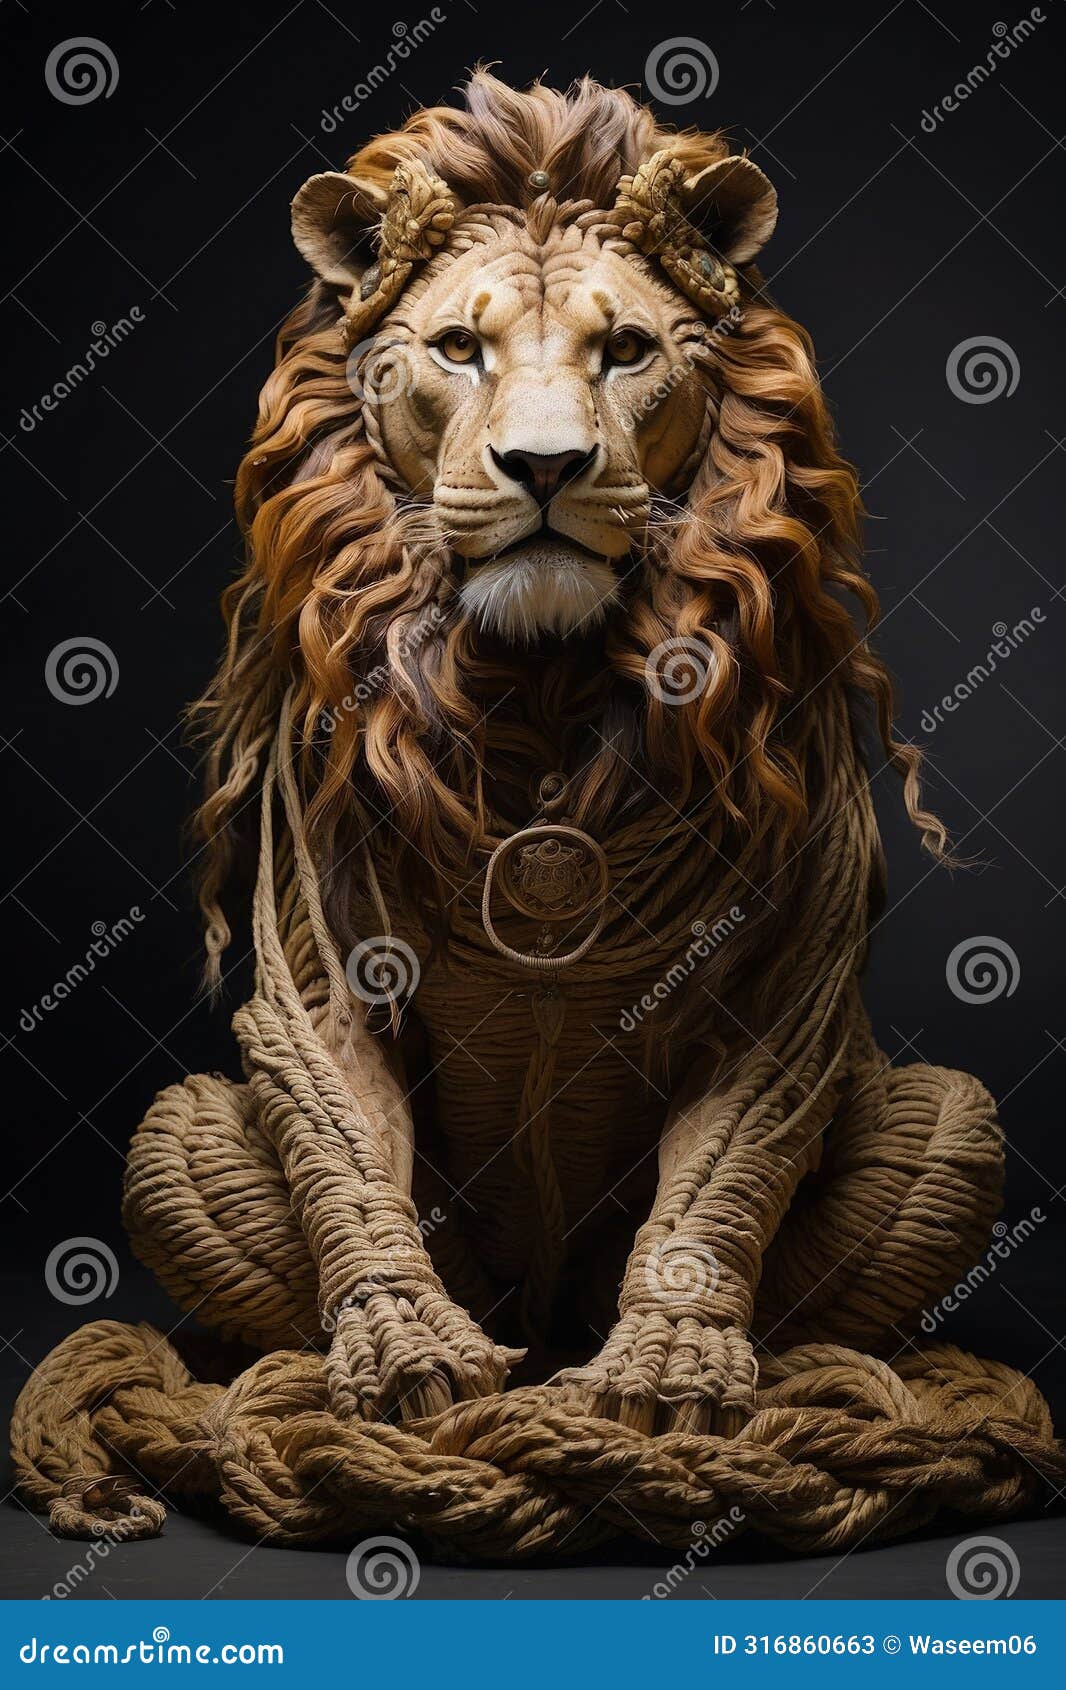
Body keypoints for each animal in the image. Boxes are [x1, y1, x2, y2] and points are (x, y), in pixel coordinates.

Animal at [180, 71, 999, 1439]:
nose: (548, 466)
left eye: (625, 351)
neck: (544, 670)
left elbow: (726, 1163)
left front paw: (670, 1365)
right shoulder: (318, 935)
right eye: (459, 349)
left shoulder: (788, 964)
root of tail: (547, 1309)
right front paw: (403, 1350)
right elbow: (341, 1131)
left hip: (952, 1122)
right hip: (176, 1128)